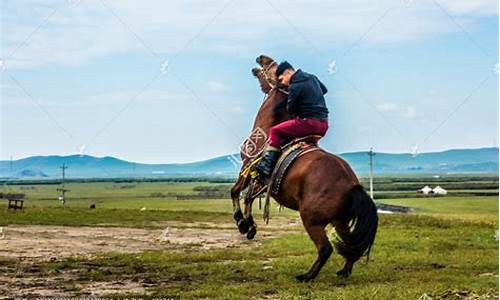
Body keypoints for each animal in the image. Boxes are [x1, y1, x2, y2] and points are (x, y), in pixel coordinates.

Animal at [231, 54, 378, 282]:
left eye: (273, 68)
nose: (260, 58)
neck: (265, 131)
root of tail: (352, 185)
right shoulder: (260, 180)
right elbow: (249, 197)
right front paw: (250, 226)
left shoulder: (248, 167)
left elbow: (237, 191)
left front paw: (241, 222)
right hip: (341, 221)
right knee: (350, 245)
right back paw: (344, 271)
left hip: (312, 220)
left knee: (326, 248)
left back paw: (307, 276)